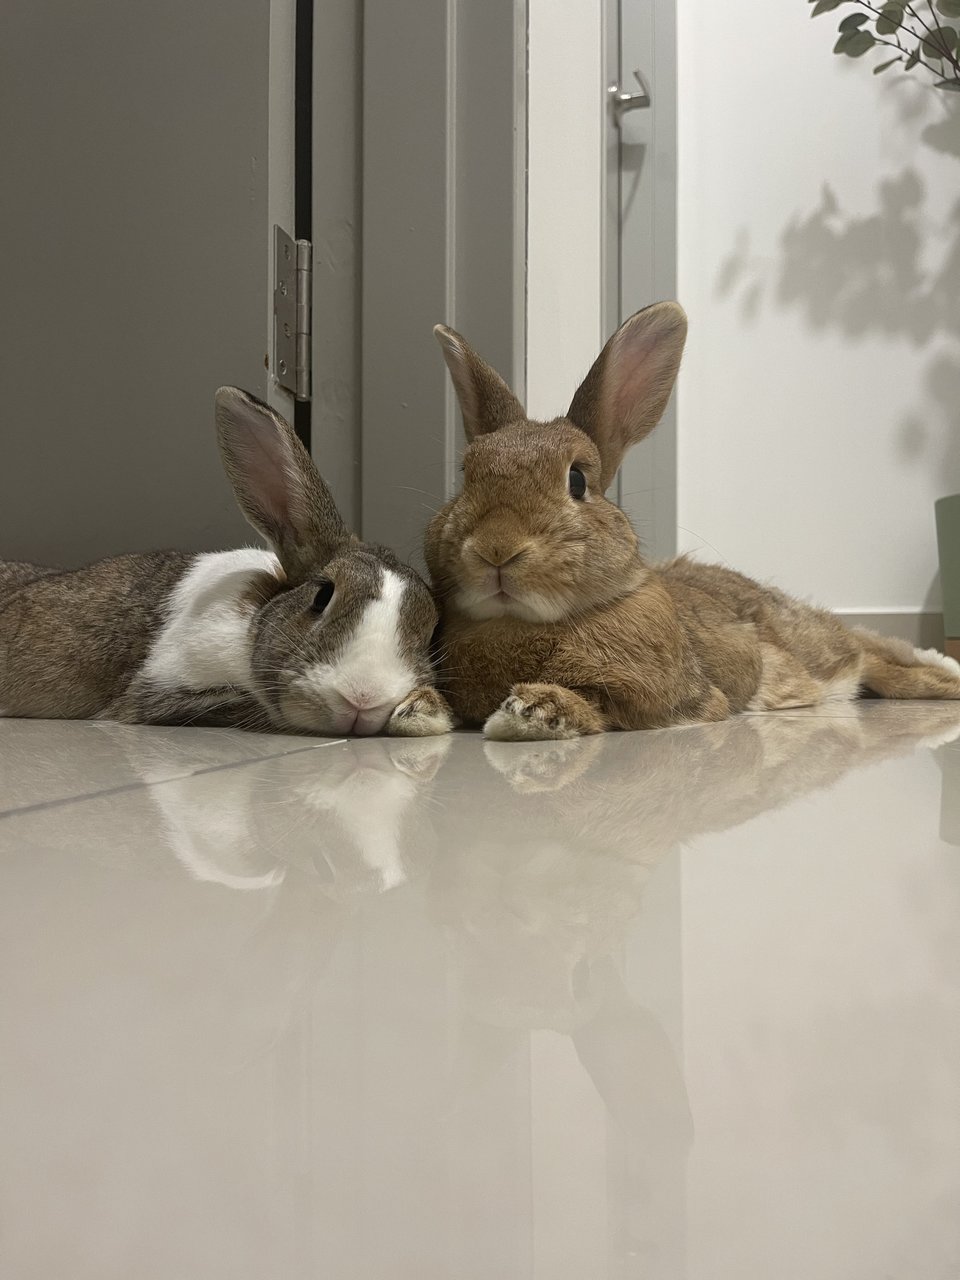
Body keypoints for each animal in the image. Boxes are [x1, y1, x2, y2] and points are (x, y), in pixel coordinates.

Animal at [0, 388, 453, 738]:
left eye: (431, 631)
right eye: (322, 596)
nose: (362, 698)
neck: (253, 621)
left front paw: (423, 710)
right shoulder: (167, 691)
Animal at [427, 301, 960, 740]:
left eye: (577, 481)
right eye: (465, 475)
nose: (496, 548)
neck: (519, 624)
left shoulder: (671, 699)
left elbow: (601, 707)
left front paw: (529, 711)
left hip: (829, 650)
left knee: (876, 659)